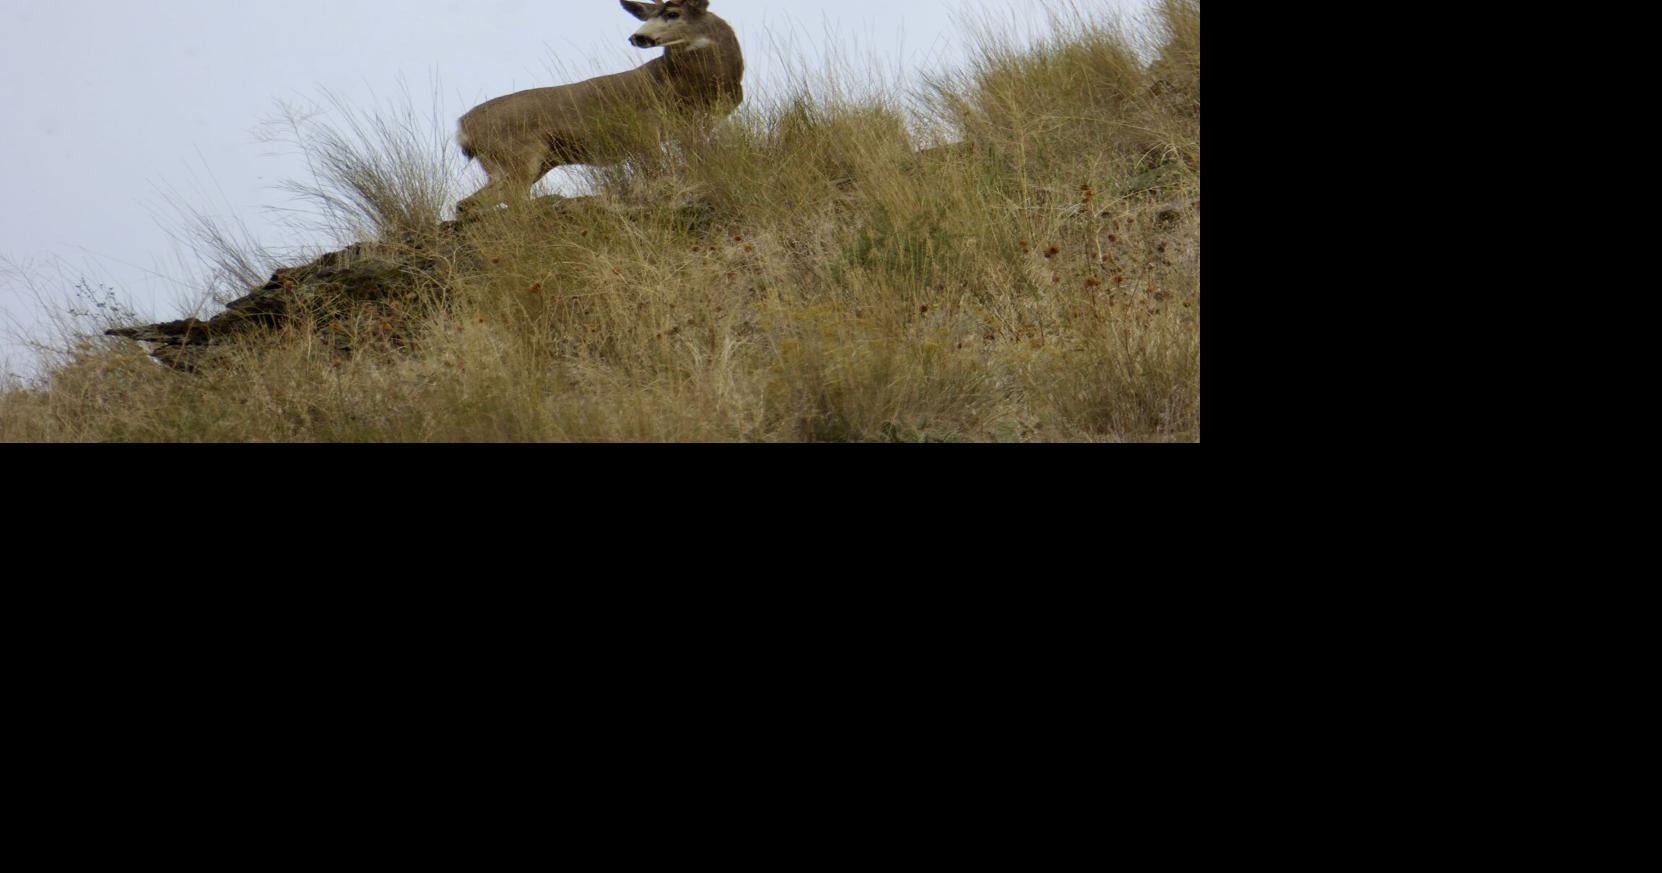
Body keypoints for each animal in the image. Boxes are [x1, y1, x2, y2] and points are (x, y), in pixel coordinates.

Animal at [455, 0, 745, 215]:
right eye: (647, 16)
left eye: (673, 13)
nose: (638, 36)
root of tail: (463, 127)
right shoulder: (647, 127)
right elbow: (661, 174)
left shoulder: (695, 126)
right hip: (519, 154)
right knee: (513, 198)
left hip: (522, 162)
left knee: (467, 203)